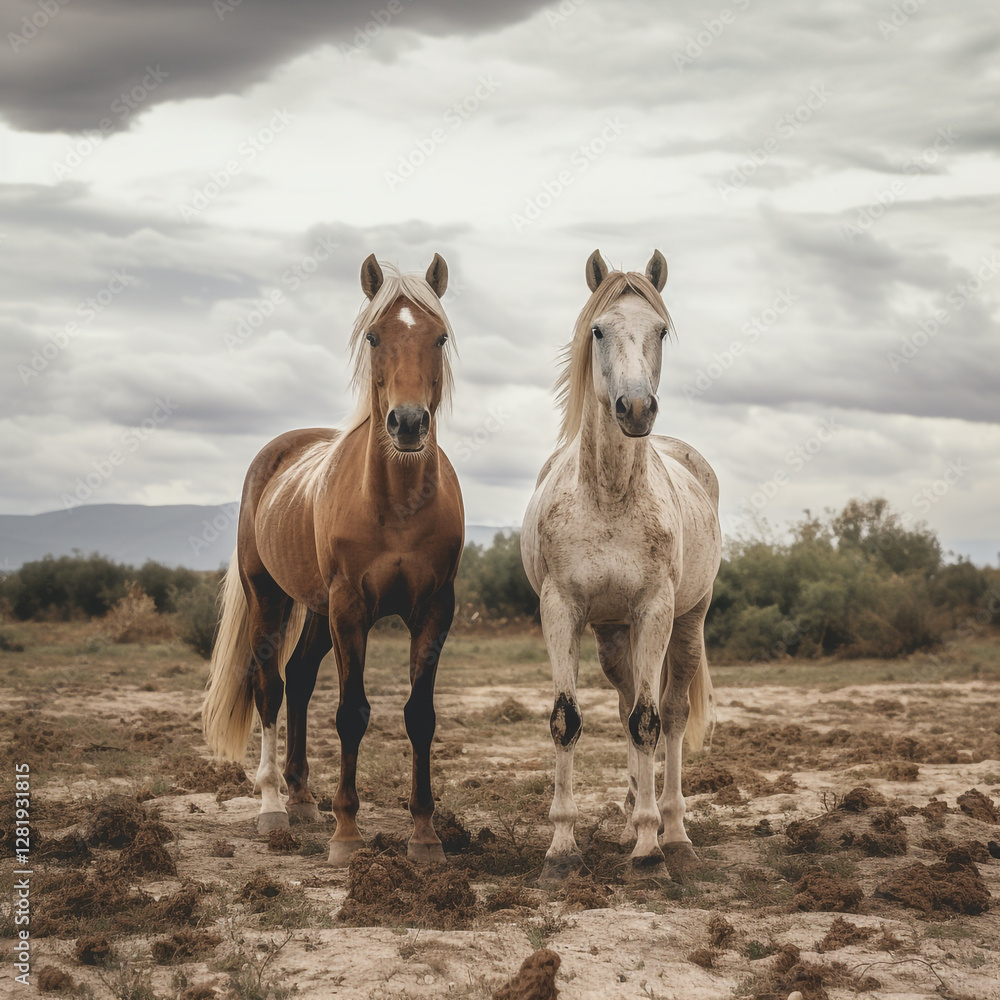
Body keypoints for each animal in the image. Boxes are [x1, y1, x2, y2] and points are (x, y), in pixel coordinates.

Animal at [202, 253, 465, 865]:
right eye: (373, 335)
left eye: (440, 336)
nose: (407, 423)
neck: (397, 501)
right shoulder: (350, 609)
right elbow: (351, 713)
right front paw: (346, 836)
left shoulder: (434, 610)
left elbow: (420, 716)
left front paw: (425, 836)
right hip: (270, 598)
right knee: (270, 686)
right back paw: (274, 807)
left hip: (318, 610)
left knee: (298, 679)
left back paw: (302, 800)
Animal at [521, 249, 722, 879]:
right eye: (598, 330)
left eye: (661, 330)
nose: (634, 408)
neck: (608, 493)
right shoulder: (562, 609)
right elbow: (568, 720)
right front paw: (562, 849)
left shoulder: (655, 609)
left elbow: (651, 722)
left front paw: (650, 851)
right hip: (613, 634)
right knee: (628, 699)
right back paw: (637, 808)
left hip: (687, 622)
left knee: (670, 714)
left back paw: (674, 831)